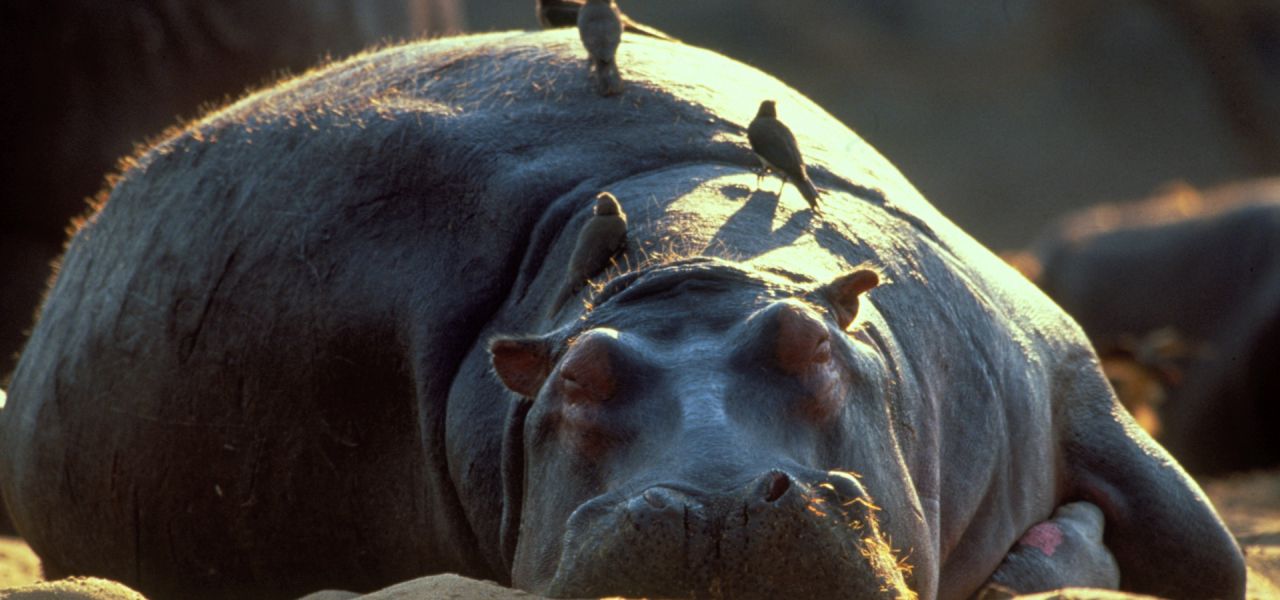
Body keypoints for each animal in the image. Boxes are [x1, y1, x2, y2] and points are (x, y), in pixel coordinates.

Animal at [0, 30, 1245, 600]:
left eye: (809, 346)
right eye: (572, 381)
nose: (708, 502)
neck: (686, 275)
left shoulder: (1072, 380)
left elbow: (1213, 554)